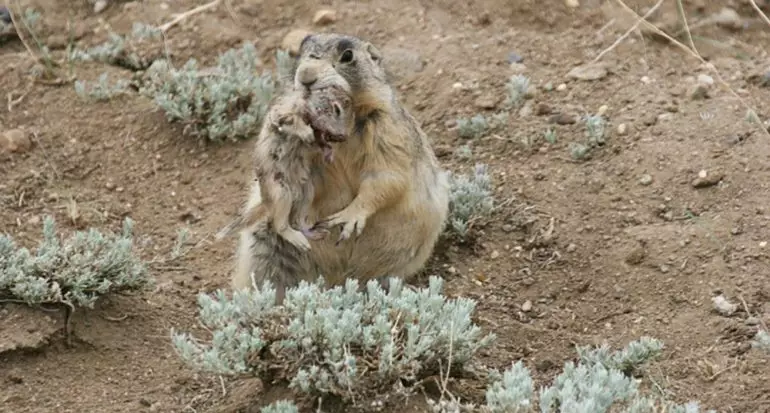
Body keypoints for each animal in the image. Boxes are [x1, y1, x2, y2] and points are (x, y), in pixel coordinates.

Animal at [234, 33, 450, 300]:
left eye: (348, 55)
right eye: (302, 49)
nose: (305, 75)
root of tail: (336, 281)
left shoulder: (389, 129)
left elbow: (386, 176)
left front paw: (347, 218)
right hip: (264, 246)